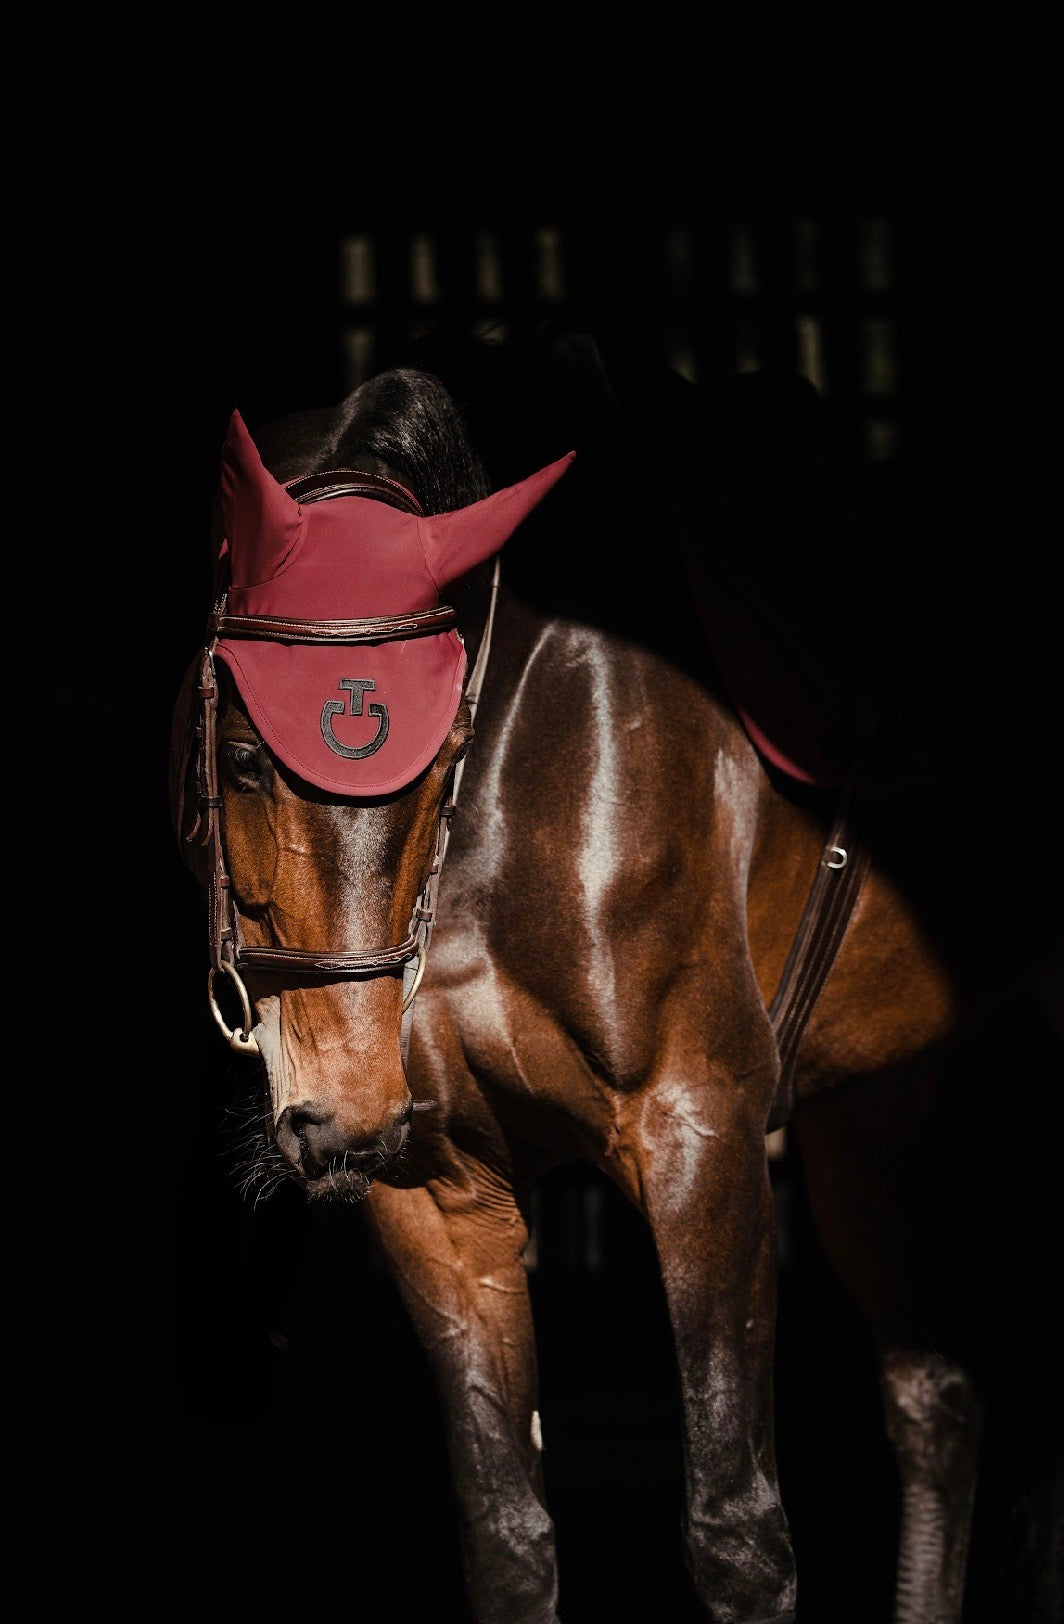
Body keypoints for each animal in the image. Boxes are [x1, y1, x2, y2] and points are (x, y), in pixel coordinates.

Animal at [169, 328, 1061, 1624]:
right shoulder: (437, 1191)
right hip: (873, 1098)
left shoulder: (701, 1140)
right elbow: (507, 1535)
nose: (347, 1111)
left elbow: (738, 1537)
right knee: (934, 1397)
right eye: (240, 758)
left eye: (442, 747)